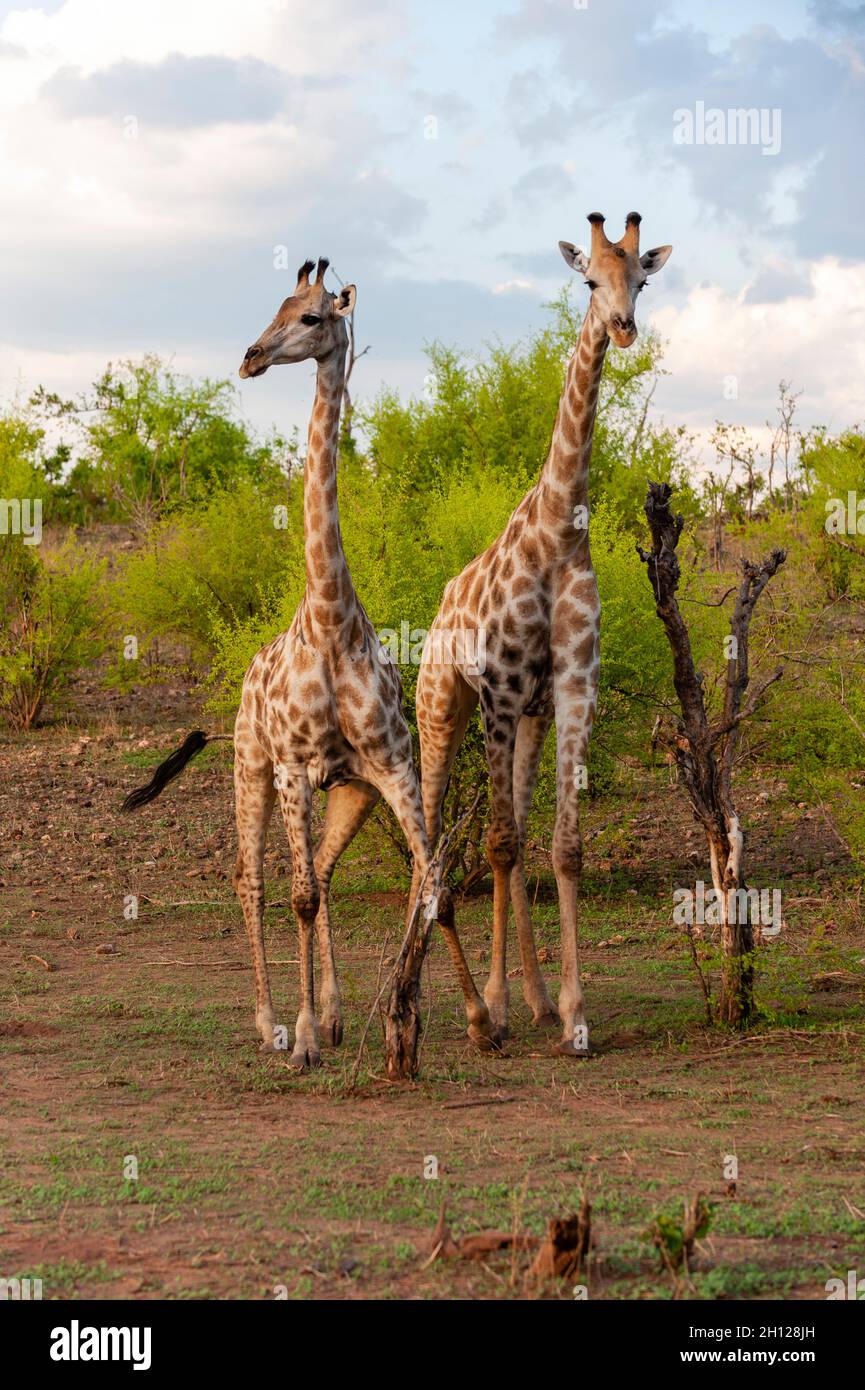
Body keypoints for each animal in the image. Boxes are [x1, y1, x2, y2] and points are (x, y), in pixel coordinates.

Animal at [122, 257, 496, 1077]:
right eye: (277, 307)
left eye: (314, 317)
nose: (251, 356)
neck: (328, 622)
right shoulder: (293, 767)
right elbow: (294, 897)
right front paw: (297, 1039)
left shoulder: (392, 766)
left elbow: (436, 886)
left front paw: (483, 1021)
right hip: (251, 769)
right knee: (257, 879)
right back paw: (275, 1025)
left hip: (347, 790)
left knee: (320, 874)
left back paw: (330, 1016)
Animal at [411, 213, 672, 1056]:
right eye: (587, 279)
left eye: (642, 279)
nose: (621, 329)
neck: (559, 530)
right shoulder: (495, 690)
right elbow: (494, 843)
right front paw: (491, 1009)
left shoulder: (569, 687)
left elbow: (558, 846)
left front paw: (572, 1014)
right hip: (442, 709)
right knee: (440, 842)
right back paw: (472, 1006)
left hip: (523, 718)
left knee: (517, 838)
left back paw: (525, 998)